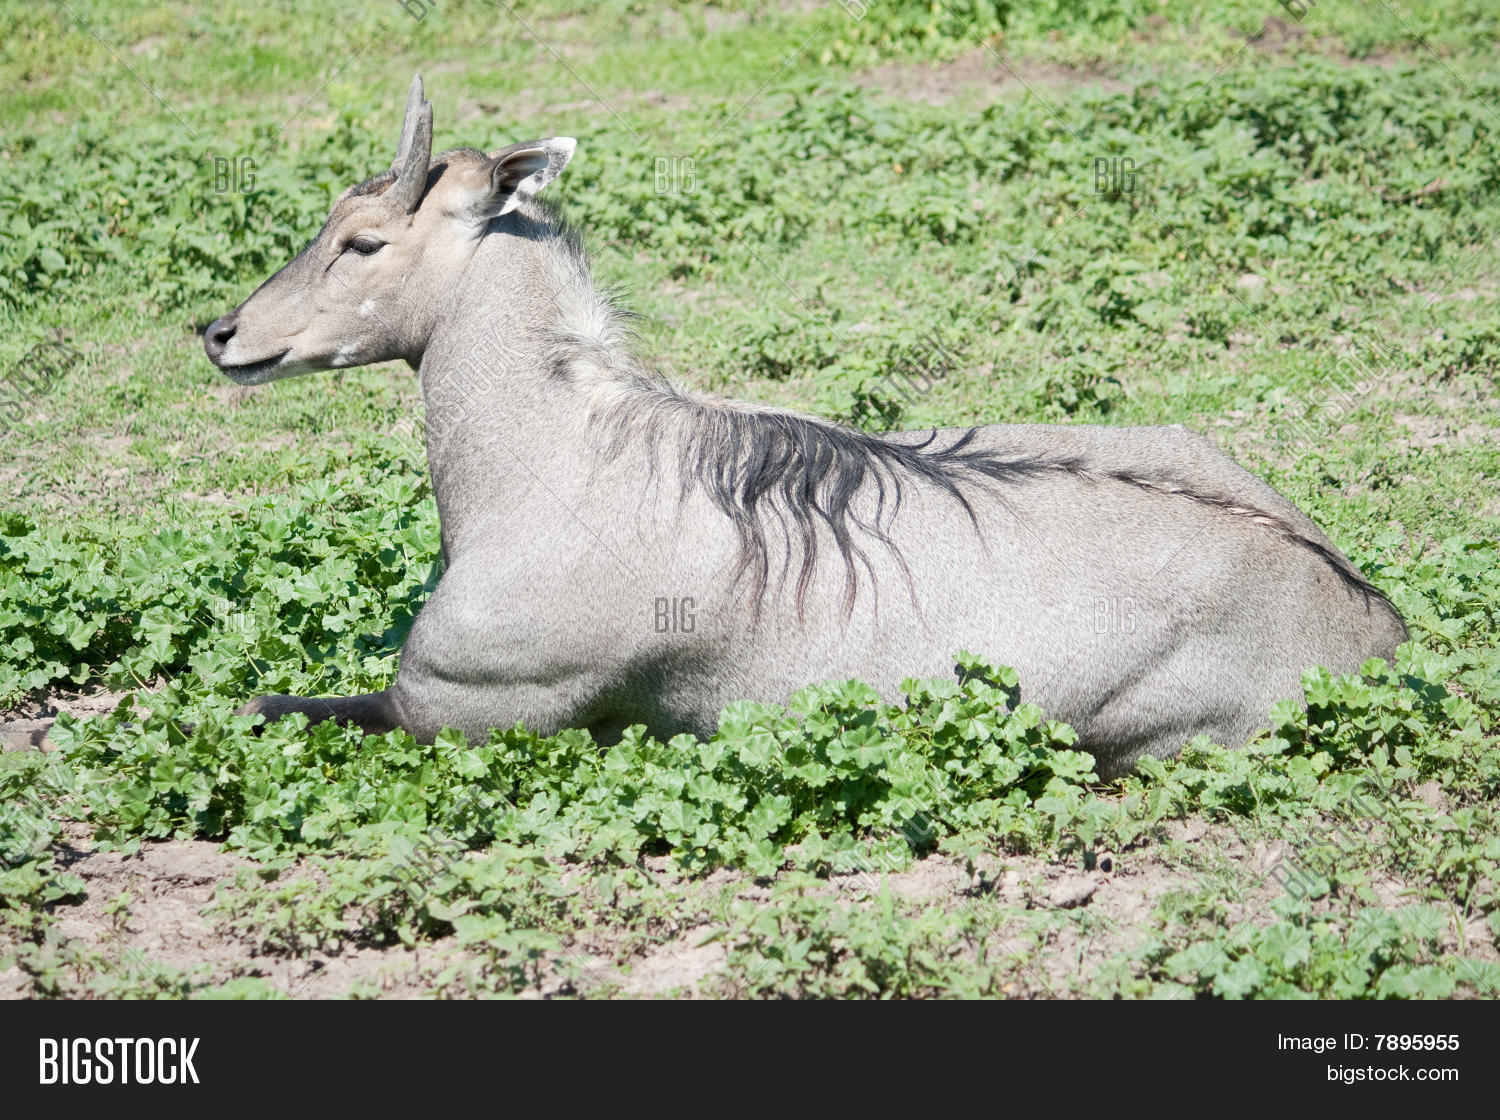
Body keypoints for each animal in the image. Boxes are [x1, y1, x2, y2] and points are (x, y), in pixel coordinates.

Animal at [203, 75, 1407, 779]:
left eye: (362, 241)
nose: (223, 332)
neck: (555, 452)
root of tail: (1374, 620)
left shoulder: (454, 712)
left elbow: (264, 702)